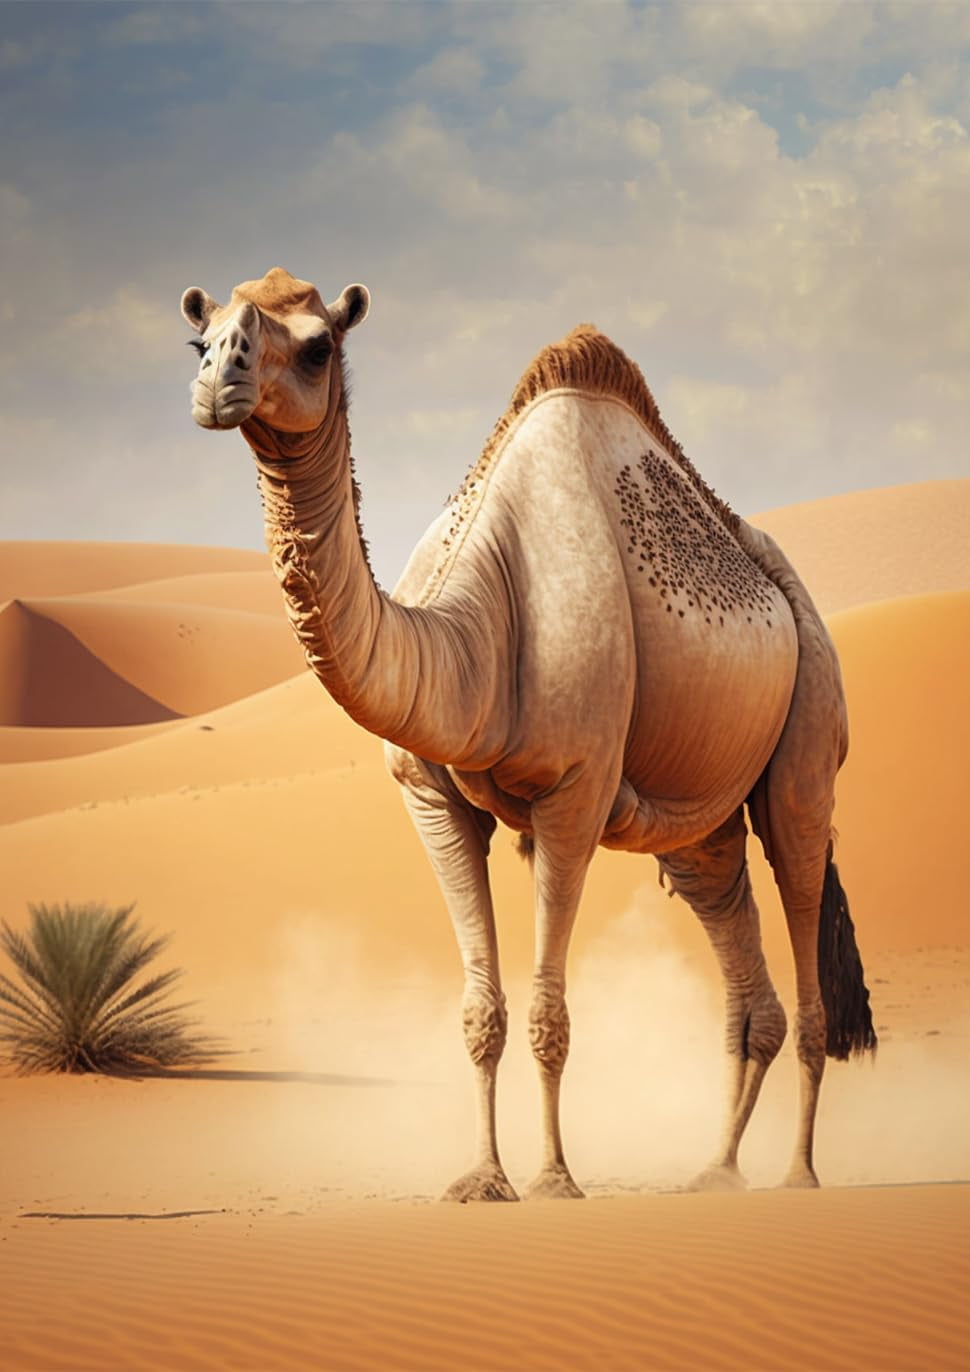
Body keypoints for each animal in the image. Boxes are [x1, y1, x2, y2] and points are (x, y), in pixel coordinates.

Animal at [180, 266, 876, 1201]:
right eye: (202, 333)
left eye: (318, 344)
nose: (219, 380)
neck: (475, 634)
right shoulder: (432, 798)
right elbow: (484, 1013)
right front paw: (481, 1178)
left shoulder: (576, 792)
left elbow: (549, 1011)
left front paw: (552, 1179)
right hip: (698, 825)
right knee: (739, 958)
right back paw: (715, 1172)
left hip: (810, 730)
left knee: (805, 935)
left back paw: (797, 1176)